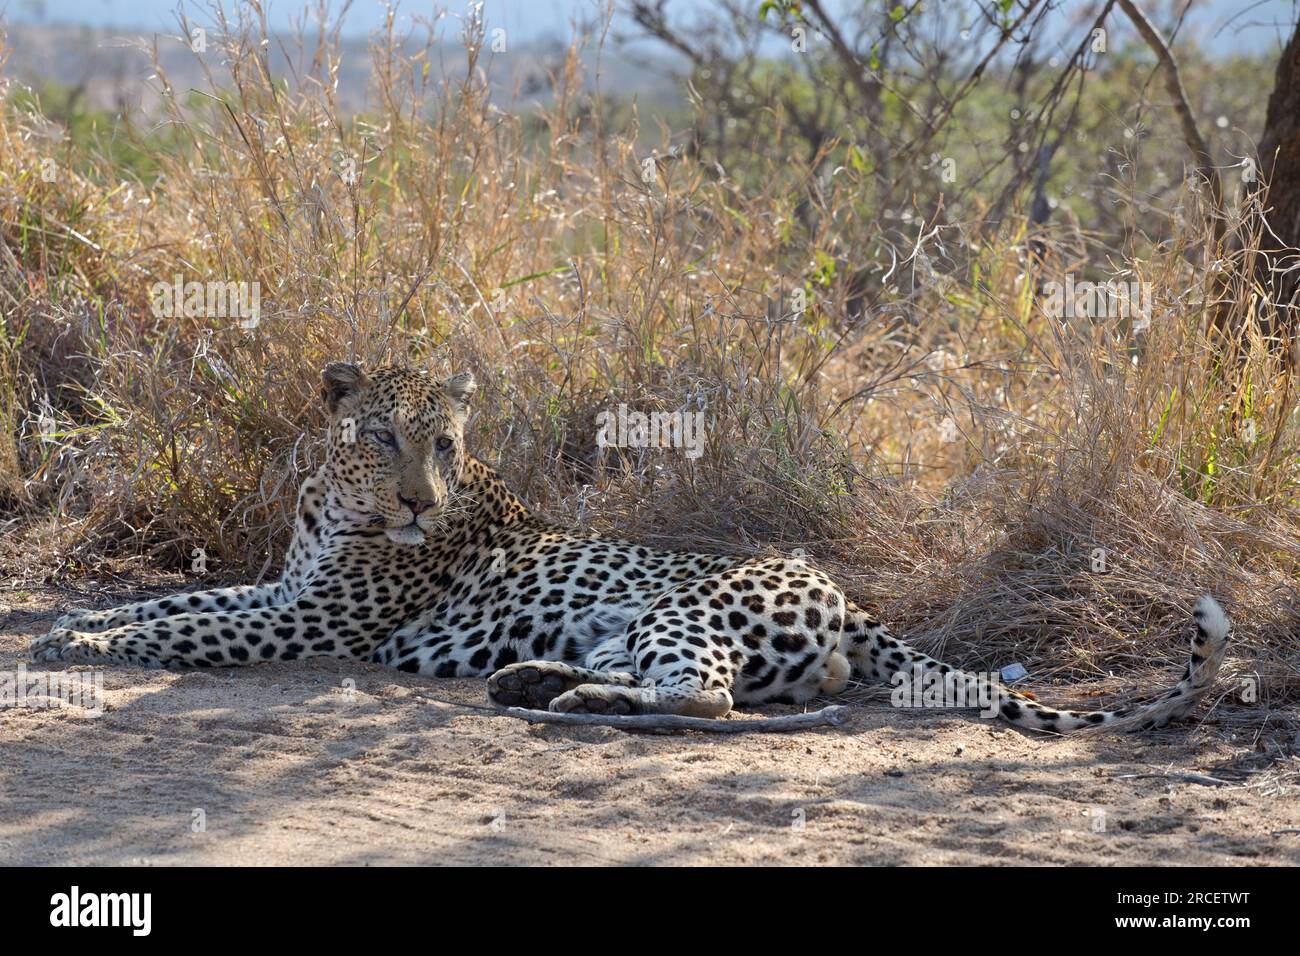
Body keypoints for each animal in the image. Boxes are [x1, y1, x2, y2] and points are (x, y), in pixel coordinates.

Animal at [31, 362, 1232, 732]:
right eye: (383, 437)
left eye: (444, 442)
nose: (419, 500)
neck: (334, 503)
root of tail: (844, 596)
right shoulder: (284, 588)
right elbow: (168, 603)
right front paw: (70, 627)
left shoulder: (309, 618)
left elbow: (183, 624)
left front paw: (71, 648)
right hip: (634, 622)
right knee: (691, 683)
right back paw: (536, 682)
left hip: (687, 608)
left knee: (708, 698)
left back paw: (565, 704)